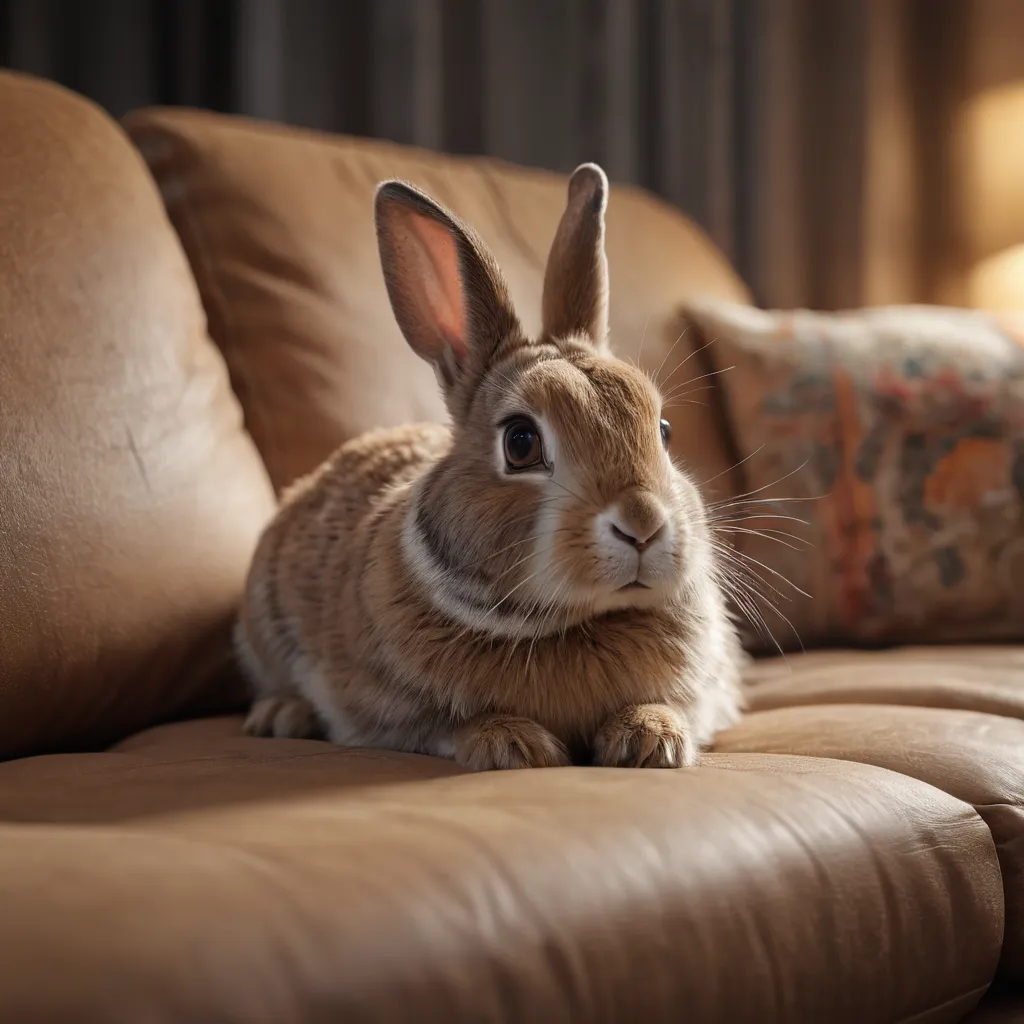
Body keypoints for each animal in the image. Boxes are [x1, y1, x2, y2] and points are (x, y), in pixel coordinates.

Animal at [234, 162, 745, 771]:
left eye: (663, 431)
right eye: (521, 443)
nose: (643, 525)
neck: (573, 621)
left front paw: (653, 738)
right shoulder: (391, 712)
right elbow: (446, 726)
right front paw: (513, 745)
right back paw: (280, 716)